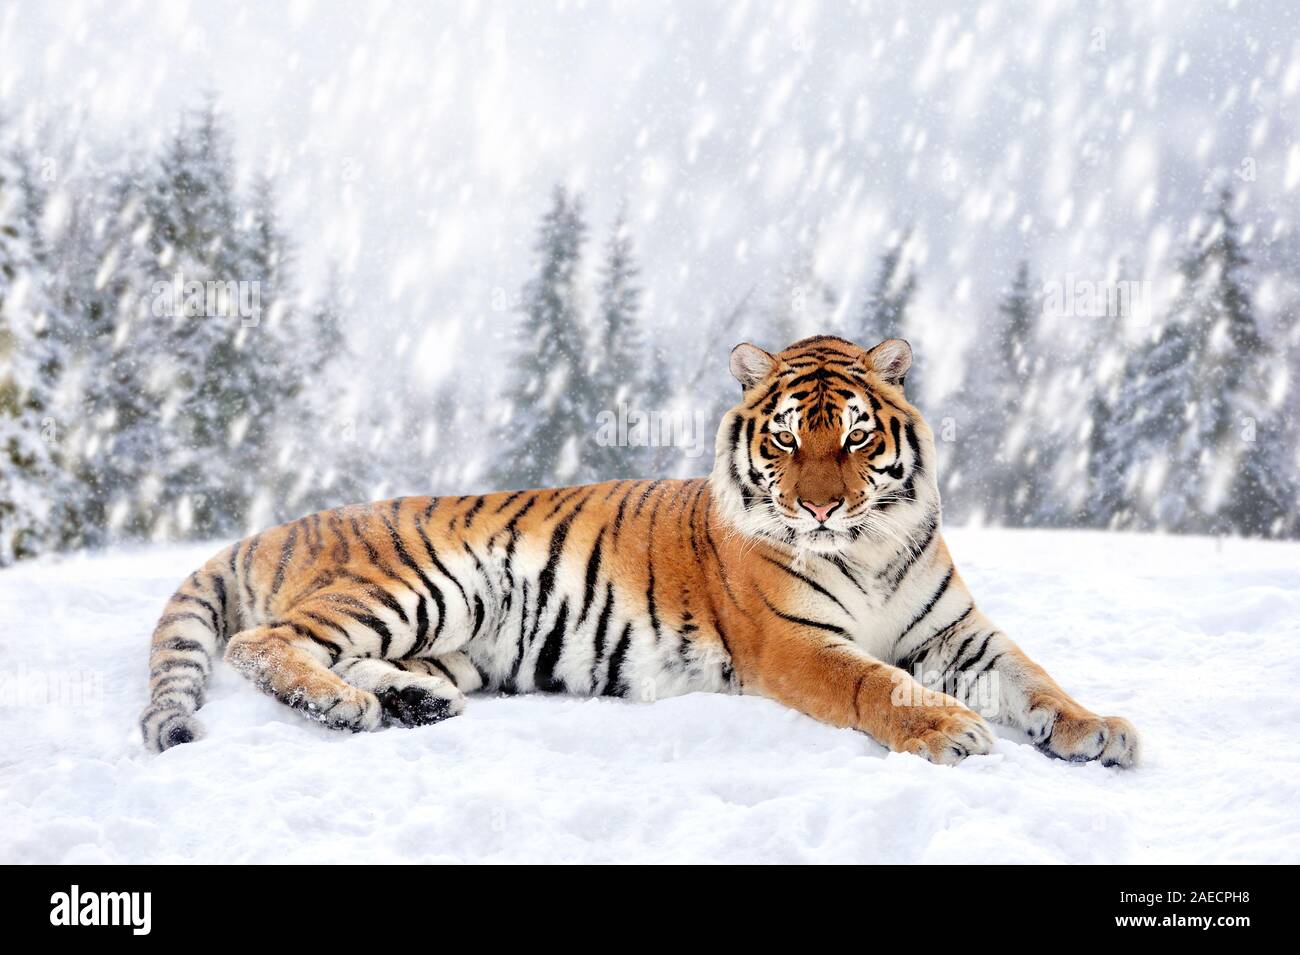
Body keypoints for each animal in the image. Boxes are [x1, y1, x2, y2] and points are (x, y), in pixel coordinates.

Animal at [141, 335, 1140, 767]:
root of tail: (284, 522)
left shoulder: (957, 633)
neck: (871, 545)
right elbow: (877, 683)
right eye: (787, 438)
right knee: (263, 643)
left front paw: (1097, 729)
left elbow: (1035, 677)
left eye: (855, 436)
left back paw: (411, 705)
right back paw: (343, 708)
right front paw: (949, 730)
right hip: (419, 584)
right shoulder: (795, 642)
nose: (818, 507)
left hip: (449, 639)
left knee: (354, 659)